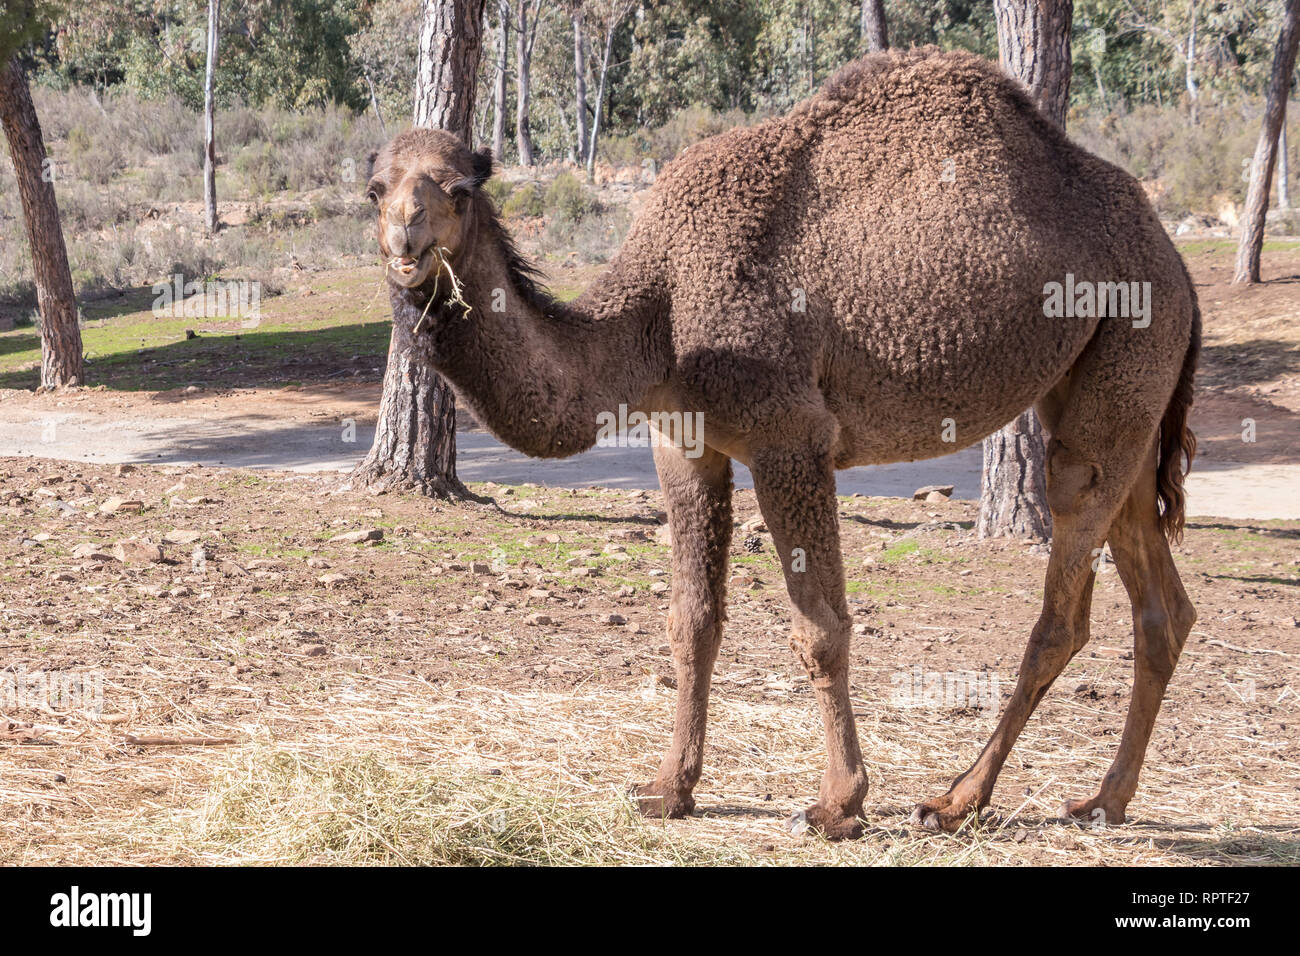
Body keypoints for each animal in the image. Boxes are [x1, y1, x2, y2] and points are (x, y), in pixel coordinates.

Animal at [365, 47, 1199, 839]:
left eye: (457, 189)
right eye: (376, 189)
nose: (407, 238)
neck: (660, 310)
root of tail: (1177, 263)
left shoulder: (789, 435)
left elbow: (820, 630)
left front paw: (837, 805)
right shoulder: (684, 439)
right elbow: (692, 621)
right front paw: (668, 790)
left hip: (1125, 353)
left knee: (1065, 609)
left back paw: (955, 802)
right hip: (1112, 390)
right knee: (1162, 605)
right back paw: (1103, 801)